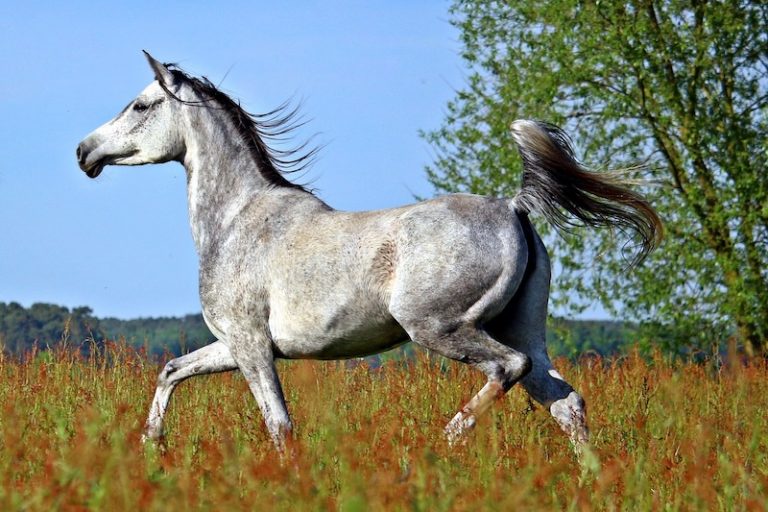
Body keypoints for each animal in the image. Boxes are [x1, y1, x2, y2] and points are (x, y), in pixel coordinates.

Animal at [77, 52, 662, 450]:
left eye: (141, 105)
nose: (85, 151)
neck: (238, 217)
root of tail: (513, 207)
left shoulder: (250, 346)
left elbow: (279, 425)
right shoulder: (232, 345)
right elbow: (171, 371)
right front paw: (152, 446)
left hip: (440, 328)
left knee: (507, 370)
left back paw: (443, 442)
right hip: (523, 329)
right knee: (566, 403)